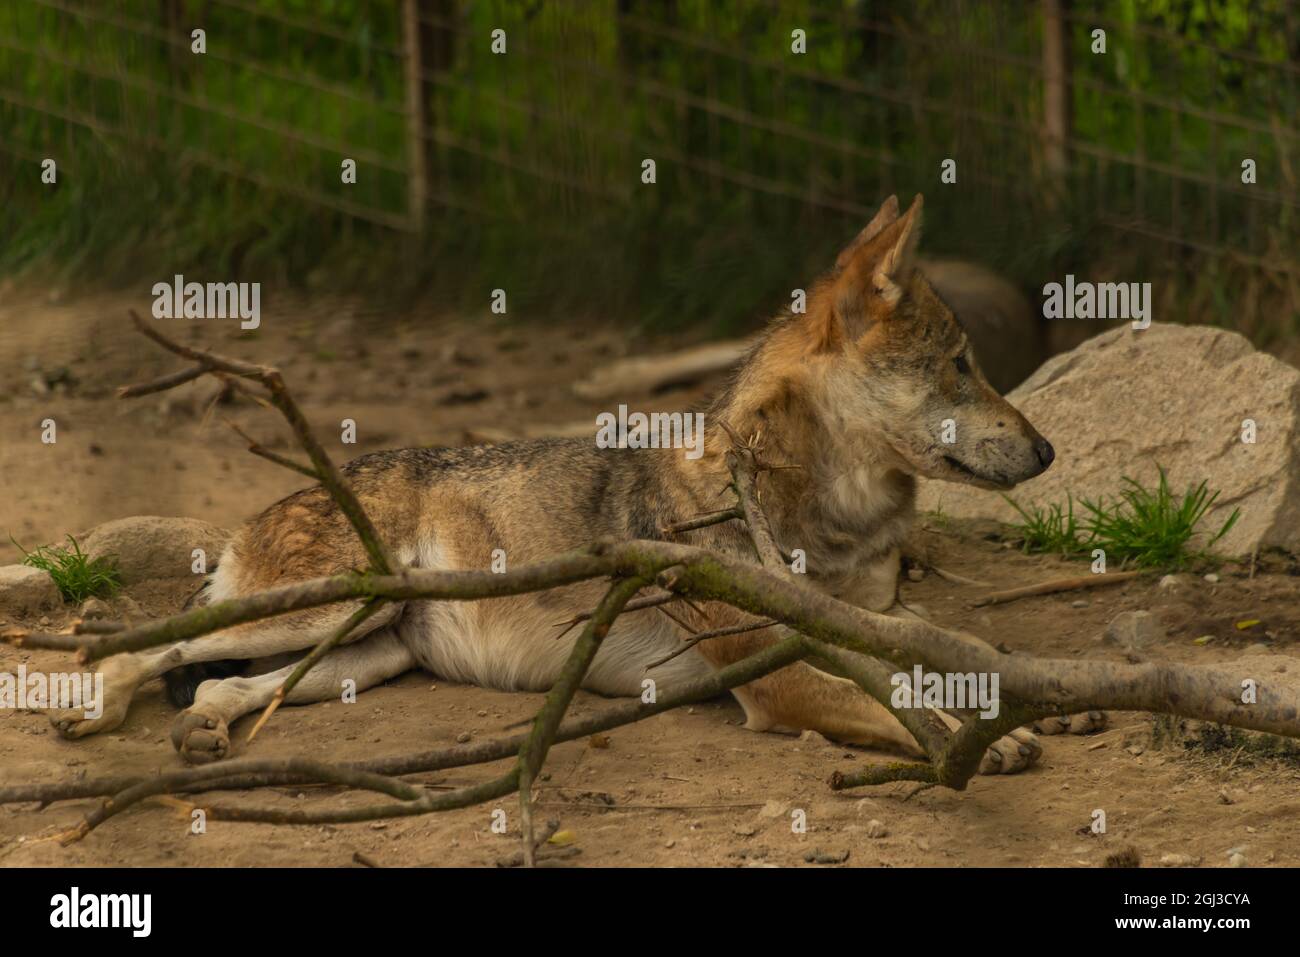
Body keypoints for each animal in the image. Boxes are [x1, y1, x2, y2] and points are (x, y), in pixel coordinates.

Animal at [51, 194, 1099, 770]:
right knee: (146, 646)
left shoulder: (879, 619)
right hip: (319, 612)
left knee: (226, 690)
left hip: (364, 654)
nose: (1050, 451)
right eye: (961, 365)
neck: (821, 518)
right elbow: (897, 698)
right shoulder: (780, 676)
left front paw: (1054, 692)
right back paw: (94, 708)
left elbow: (969, 644)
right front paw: (992, 737)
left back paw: (201, 734)